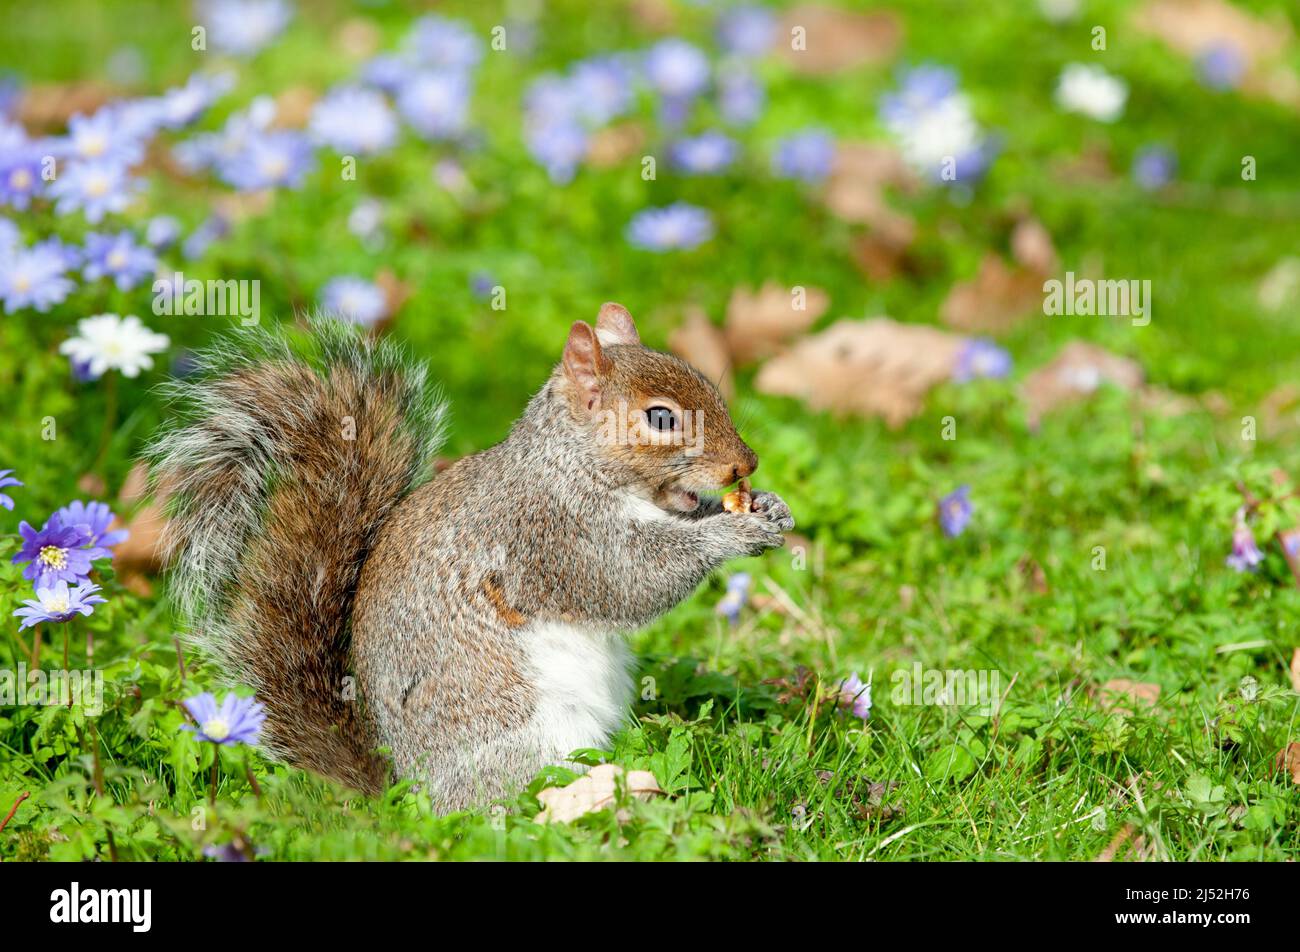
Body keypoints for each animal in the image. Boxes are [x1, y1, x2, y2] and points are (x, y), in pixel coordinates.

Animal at [151, 303, 794, 810]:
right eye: (660, 418)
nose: (747, 464)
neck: (572, 465)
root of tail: (405, 789)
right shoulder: (551, 534)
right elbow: (631, 580)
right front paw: (733, 533)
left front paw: (769, 507)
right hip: (519, 734)